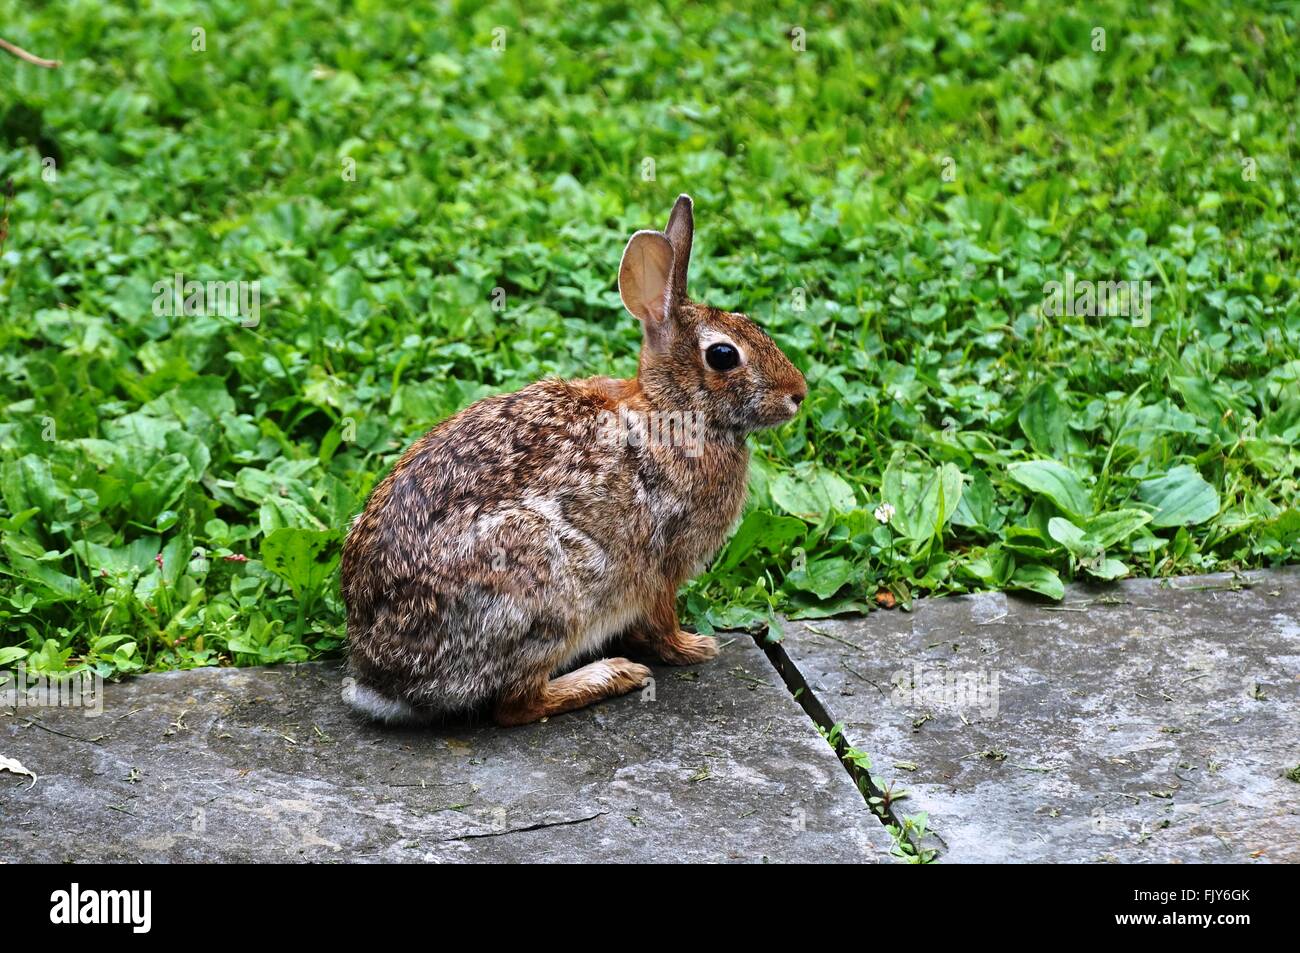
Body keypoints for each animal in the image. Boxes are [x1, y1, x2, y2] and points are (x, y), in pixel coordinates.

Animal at [340, 195, 807, 726]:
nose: (798, 394)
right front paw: (694, 648)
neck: (670, 408)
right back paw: (613, 675)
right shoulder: (660, 564)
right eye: (724, 355)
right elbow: (661, 619)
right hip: (546, 591)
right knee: (516, 704)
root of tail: (384, 679)